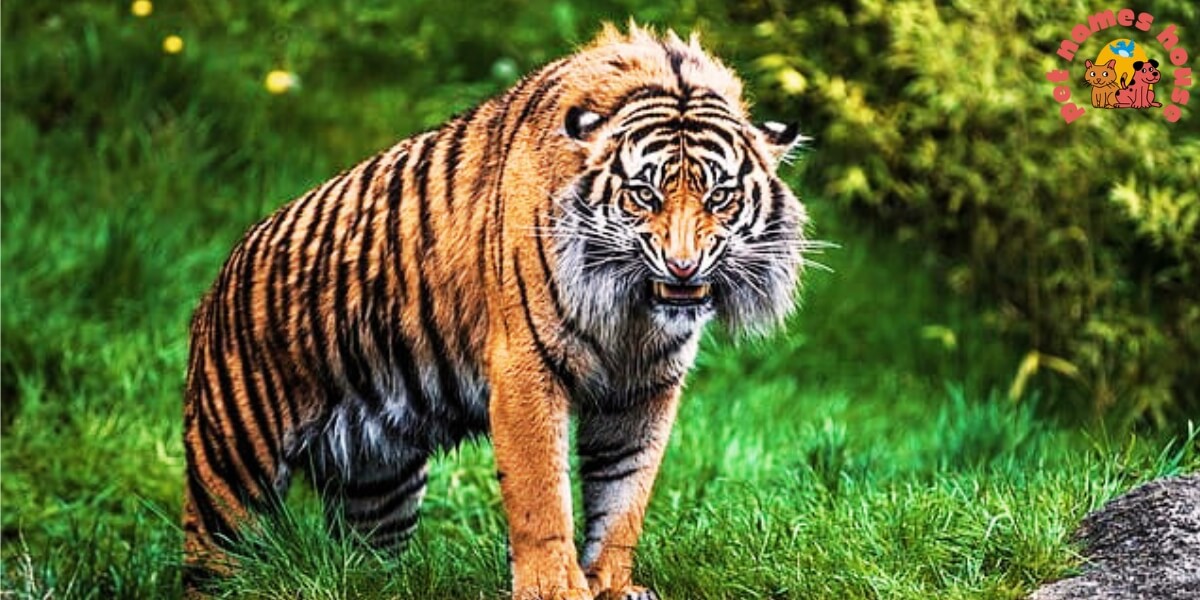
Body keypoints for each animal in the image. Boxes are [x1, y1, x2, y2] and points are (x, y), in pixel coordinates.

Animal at [183, 22, 808, 600]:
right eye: (643, 196)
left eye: (719, 197)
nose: (682, 267)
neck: (630, 311)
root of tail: (218, 282)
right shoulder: (526, 367)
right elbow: (542, 496)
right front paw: (557, 589)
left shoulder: (644, 389)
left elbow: (625, 493)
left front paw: (611, 585)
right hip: (232, 469)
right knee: (213, 558)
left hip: (379, 483)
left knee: (363, 562)